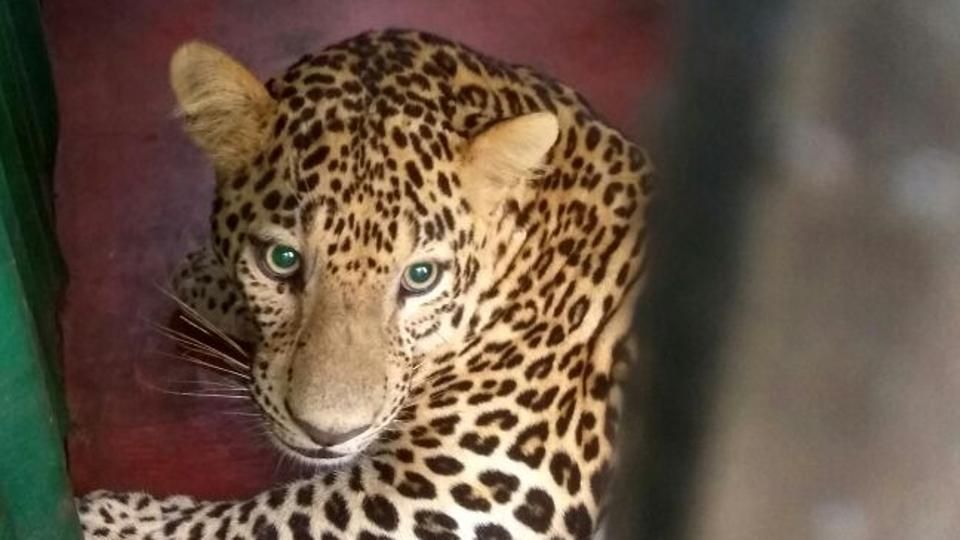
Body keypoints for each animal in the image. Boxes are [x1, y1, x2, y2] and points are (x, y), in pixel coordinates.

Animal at [77, 29, 653, 540]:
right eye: (281, 261)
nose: (328, 435)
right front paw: (204, 275)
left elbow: (262, 521)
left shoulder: (481, 482)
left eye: (420, 277)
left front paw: (103, 517)